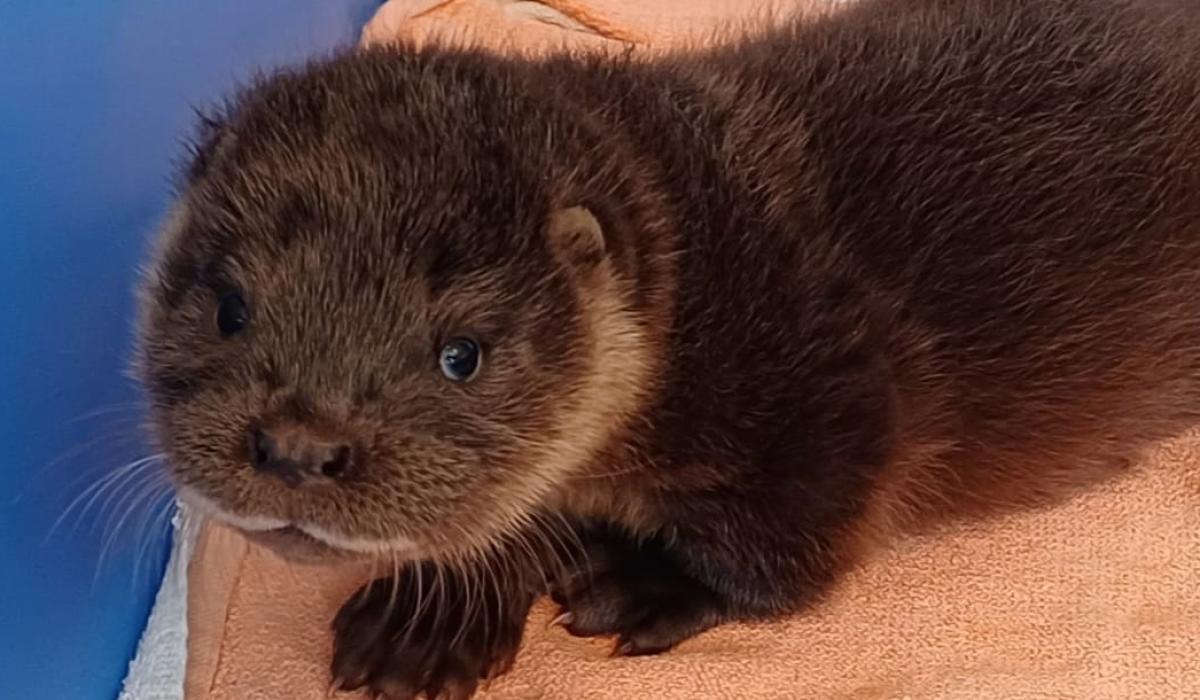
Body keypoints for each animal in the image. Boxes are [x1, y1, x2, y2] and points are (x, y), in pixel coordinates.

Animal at [134, 0, 1200, 697]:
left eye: (460, 354)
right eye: (229, 308)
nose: (298, 448)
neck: (705, 280)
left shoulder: (836, 402)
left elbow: (785, 556)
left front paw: (641, 582)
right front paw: (426, 625)